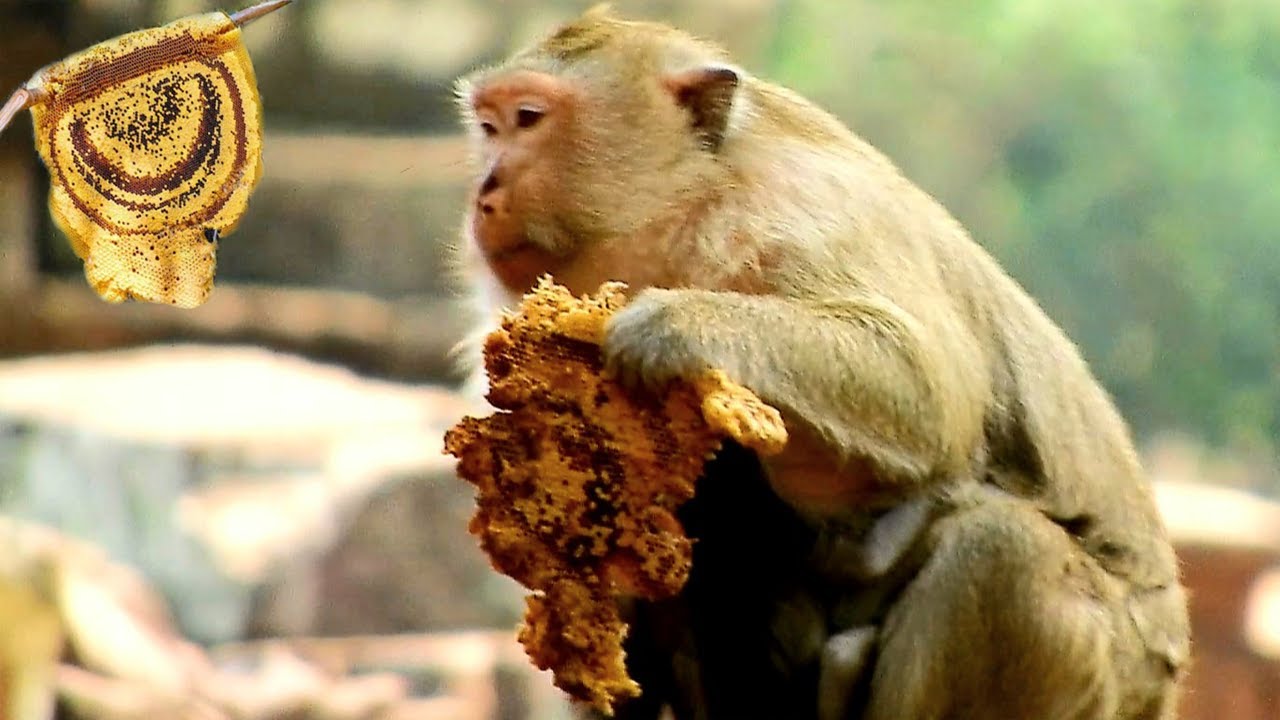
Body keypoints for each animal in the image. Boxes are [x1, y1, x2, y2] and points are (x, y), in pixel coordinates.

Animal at [452, 7, 1190, 719]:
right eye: (488, 127)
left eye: (529, 119)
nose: (482, 191)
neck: (692, 208)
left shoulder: (799, 220)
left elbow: (928, 387)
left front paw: (666, 326)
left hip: (1115, 671)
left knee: (1003, 552)